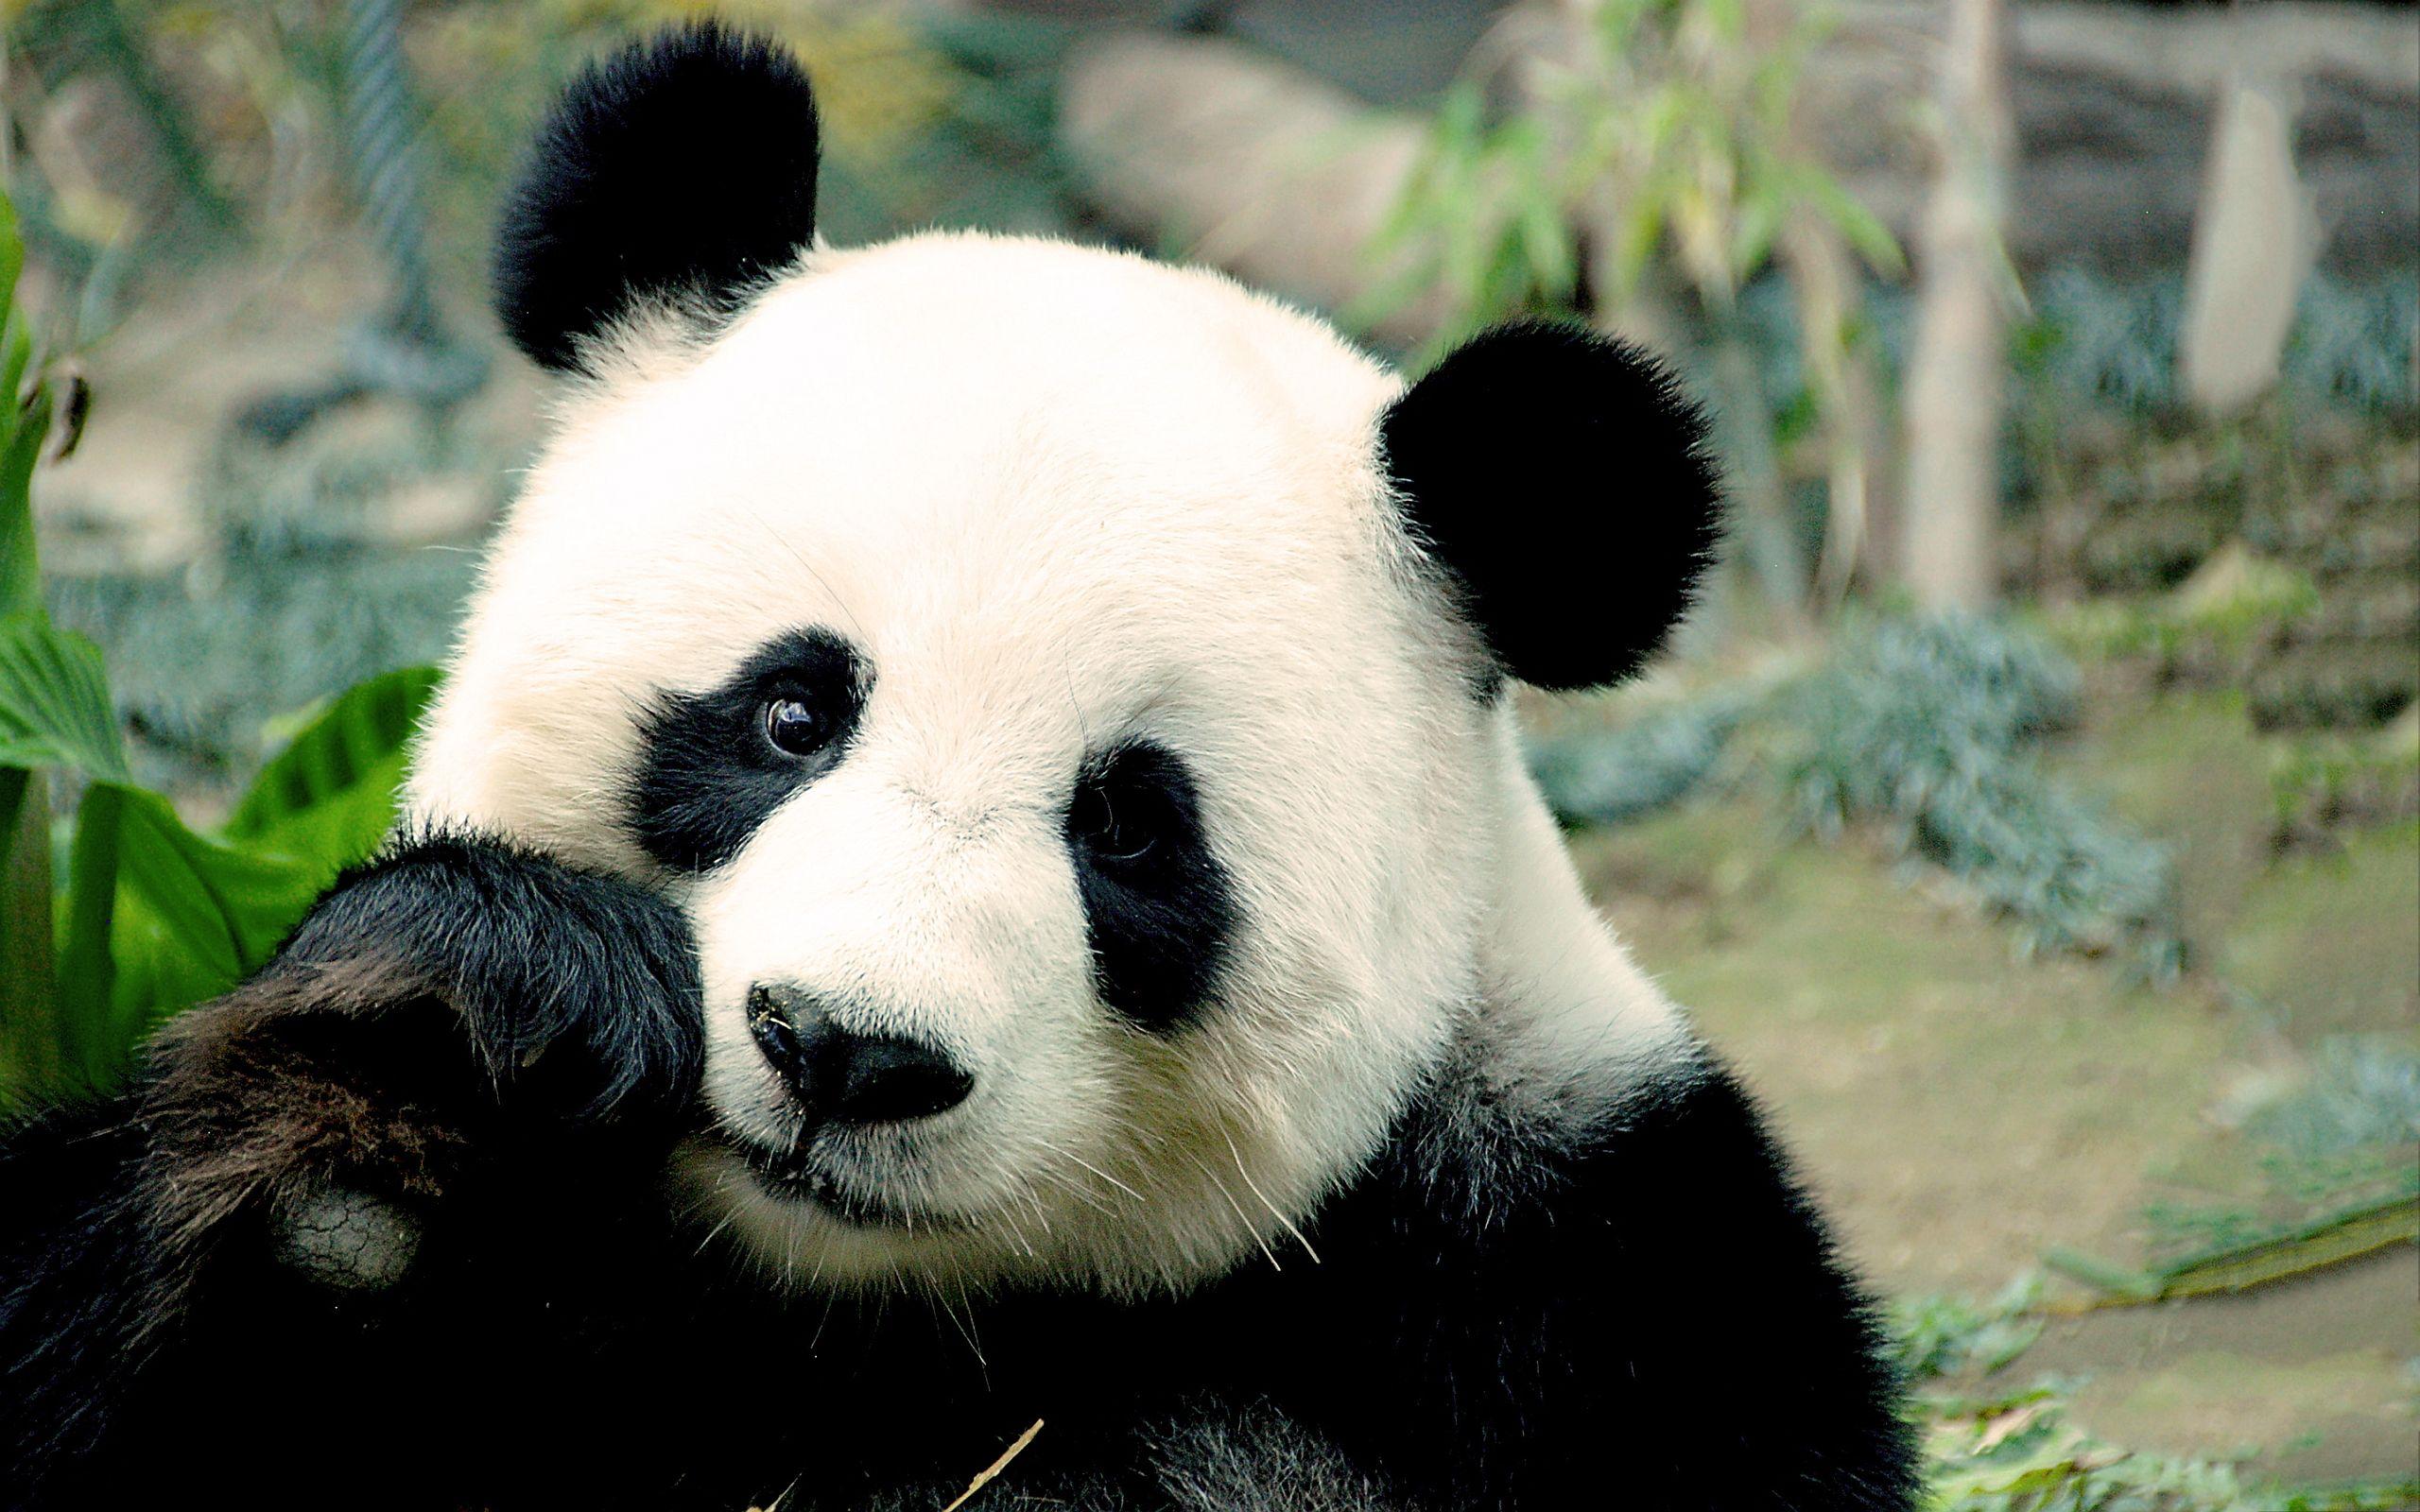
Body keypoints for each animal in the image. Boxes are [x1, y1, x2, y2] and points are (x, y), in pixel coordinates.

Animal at [1, 24, 1917, 1512]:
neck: (844, 1313)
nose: (847, 1054)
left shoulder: (1582, 1280)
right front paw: (431, 1064)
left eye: (1130, 828)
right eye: (791, 714)